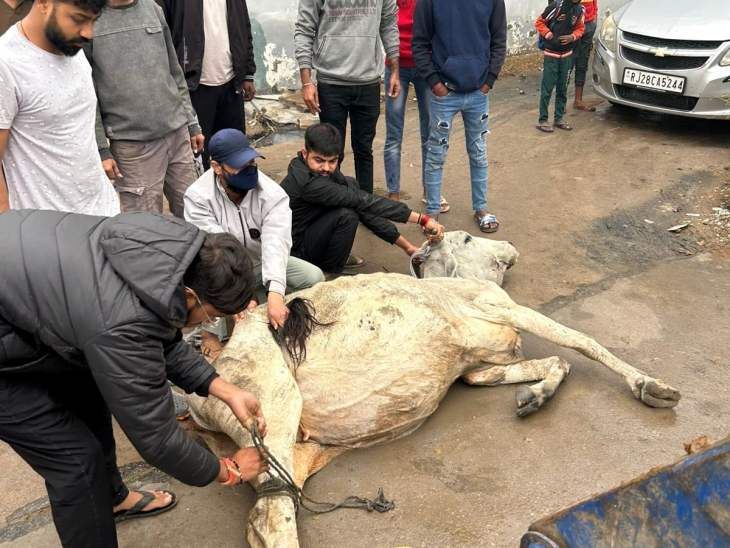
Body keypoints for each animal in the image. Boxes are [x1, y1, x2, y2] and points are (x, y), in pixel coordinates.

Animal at [185, 232, 680, 547]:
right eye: (466, 240)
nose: (510, 246)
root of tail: (198, 390)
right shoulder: (502, 308)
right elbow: (582, 343)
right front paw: (652, 386)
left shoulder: (477, 370)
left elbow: (555, 362)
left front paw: (534, 397)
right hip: (272, 407)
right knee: (272, 518)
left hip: (299, 450)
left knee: (268, 512)